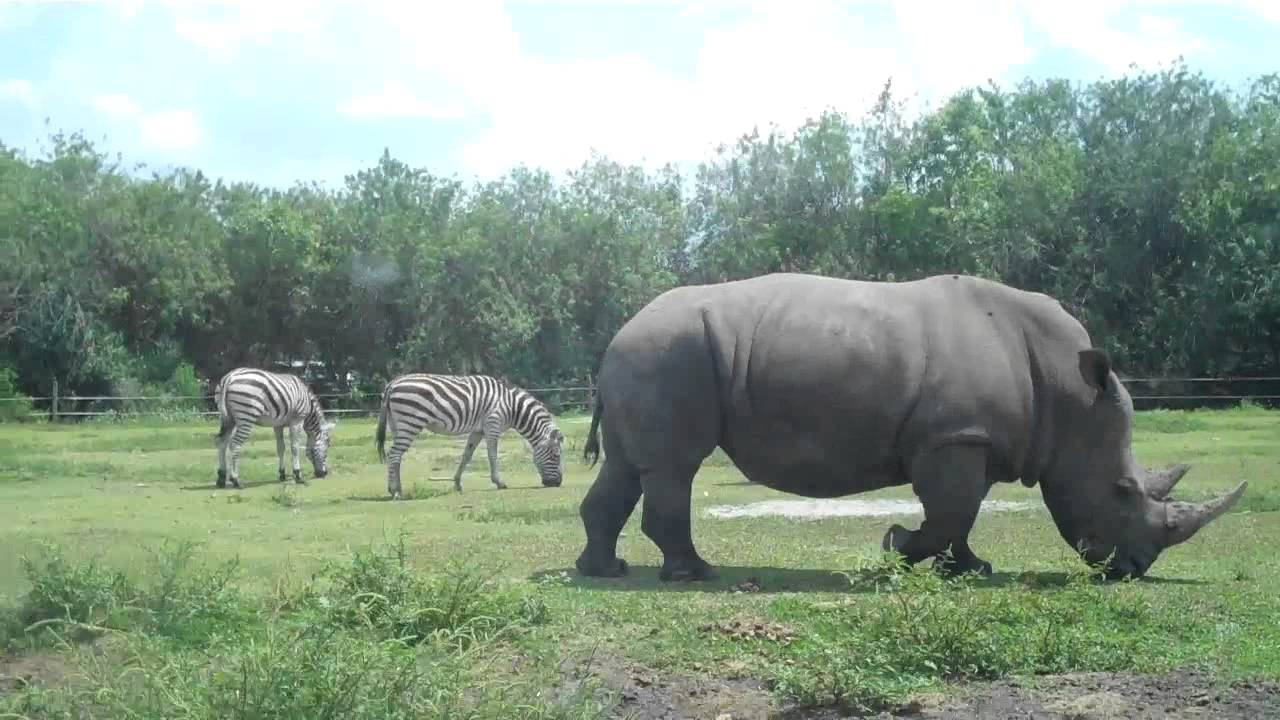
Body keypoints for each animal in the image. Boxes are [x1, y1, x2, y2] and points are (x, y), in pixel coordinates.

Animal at [375, 373, 565, 498]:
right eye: (556, 455)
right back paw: (396, 491)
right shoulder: (492, 424)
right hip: (411, 422)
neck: (512, 406)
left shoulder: (477, 430)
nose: (558, 484)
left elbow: (467, 455)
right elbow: (492, 455)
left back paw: (396, 488)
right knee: (394, 454)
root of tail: (393, 383)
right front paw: (499, 482)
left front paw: (457, 483)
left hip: (398, 424)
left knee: (397, 456)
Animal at [576, 272, 1246, 581]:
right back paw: (695, 573)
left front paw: (969, 569)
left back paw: (605, 571)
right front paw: (896, 545)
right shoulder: (953, 436)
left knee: (629, 467)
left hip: (650, 356)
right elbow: (950, 511)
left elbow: (963, 515)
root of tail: (617, 334)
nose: (1134, 568)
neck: (1068, 392)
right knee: (674, 465)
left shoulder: (971, 438)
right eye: (1123, 491)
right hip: (669, 354)